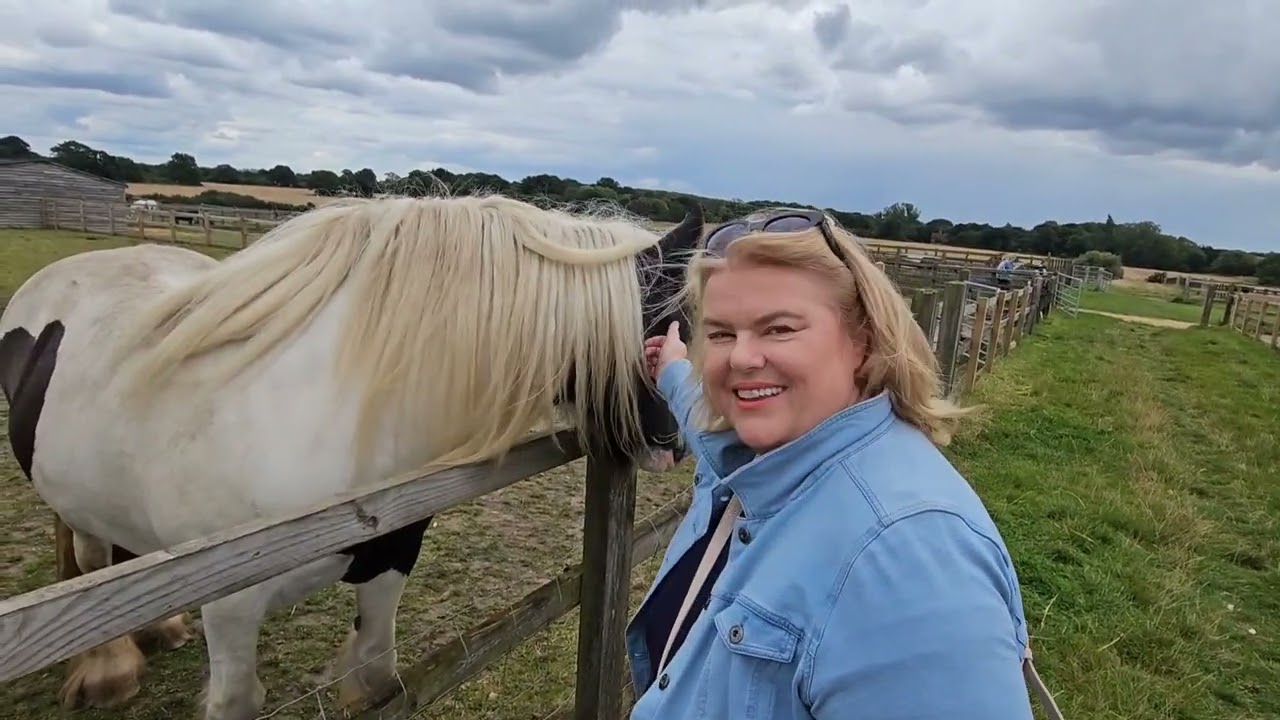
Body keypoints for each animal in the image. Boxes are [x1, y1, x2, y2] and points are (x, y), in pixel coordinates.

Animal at [0, 193, 704, 720]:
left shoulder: (389, 559)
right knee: (91, 557)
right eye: (667, 332)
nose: (677, 447)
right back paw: (110, 670)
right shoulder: (228, 604)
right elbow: (237, 700)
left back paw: (159, 628)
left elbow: (376, 677)